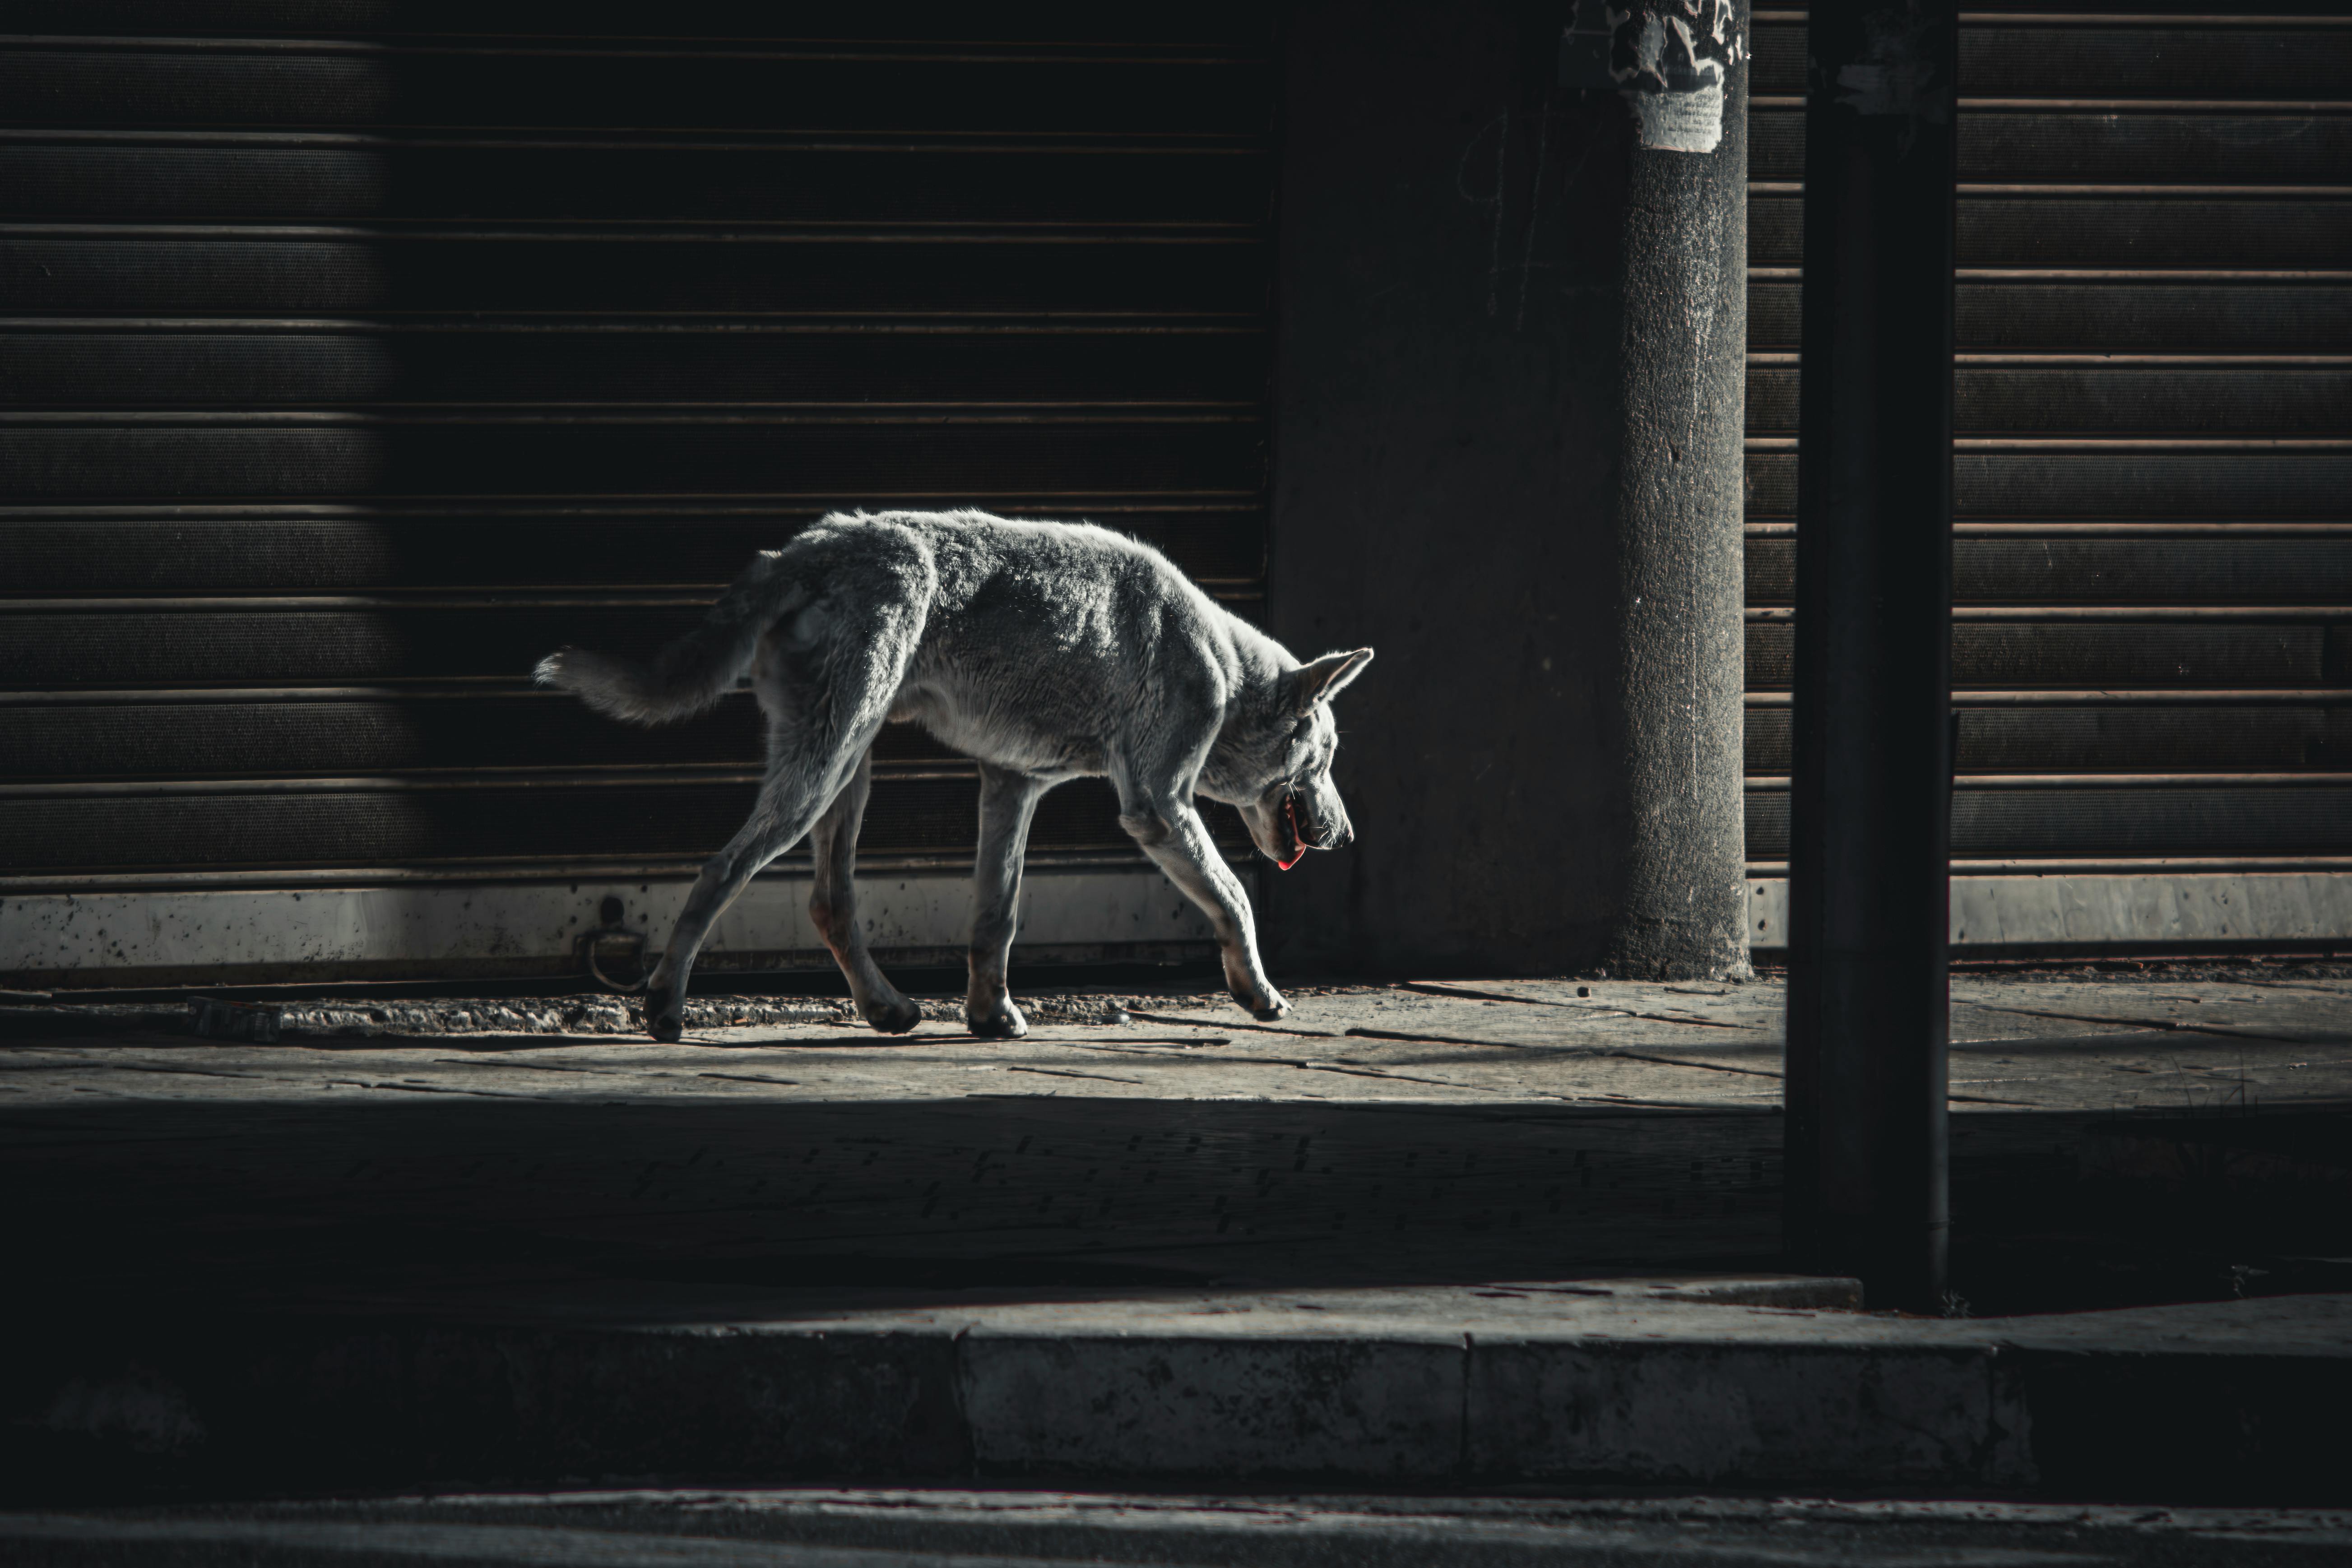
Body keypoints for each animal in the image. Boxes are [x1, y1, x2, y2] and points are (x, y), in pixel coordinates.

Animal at [536, 509, 1372, 1043]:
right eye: (1328, 758)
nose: (1346, 835)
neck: (1223, 669)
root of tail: (806, 546)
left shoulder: (1011, 785)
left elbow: (993, 919)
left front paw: (989, 1016)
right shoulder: (1158, 807)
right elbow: (1235, 897)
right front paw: (1259, 992)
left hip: (848, 773)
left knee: (829, 902)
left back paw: (887, 1009)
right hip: (825, 769)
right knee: (720, 869)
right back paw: (665, 1006)